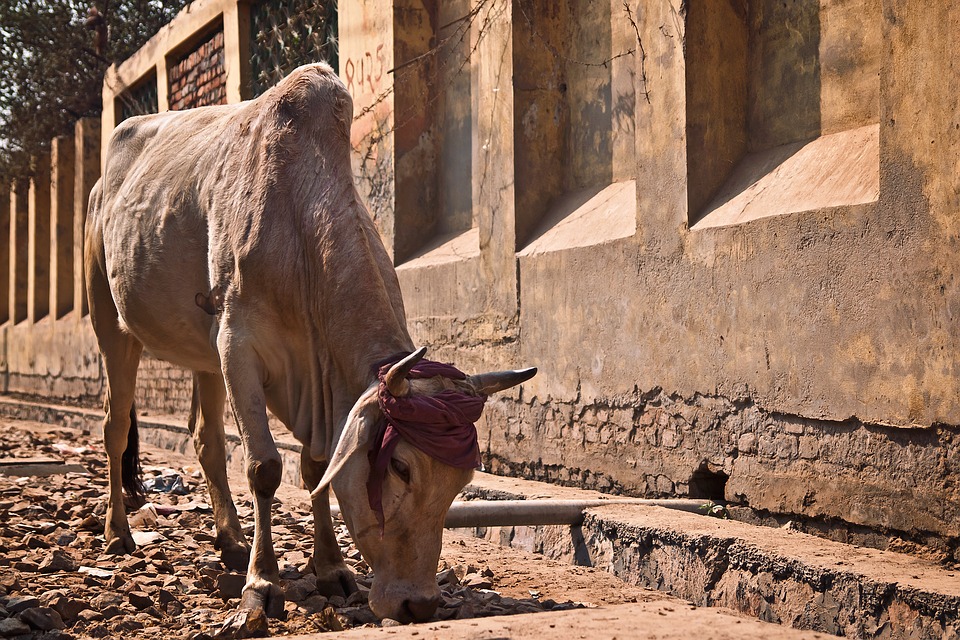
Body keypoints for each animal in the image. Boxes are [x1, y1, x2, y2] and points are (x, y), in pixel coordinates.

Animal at [84, 62, 536, 629]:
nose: (418, 604)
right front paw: (261, 585)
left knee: (206, 439)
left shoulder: (306, 382)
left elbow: (317, 470)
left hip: (204, 354)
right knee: (115, 428)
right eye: (400, 466)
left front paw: (331, 569)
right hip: (113, 325)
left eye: (460, 481)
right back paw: (118, 532)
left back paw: (230, 541)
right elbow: (264, 468)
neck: (298, 227)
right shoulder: (238, 347)